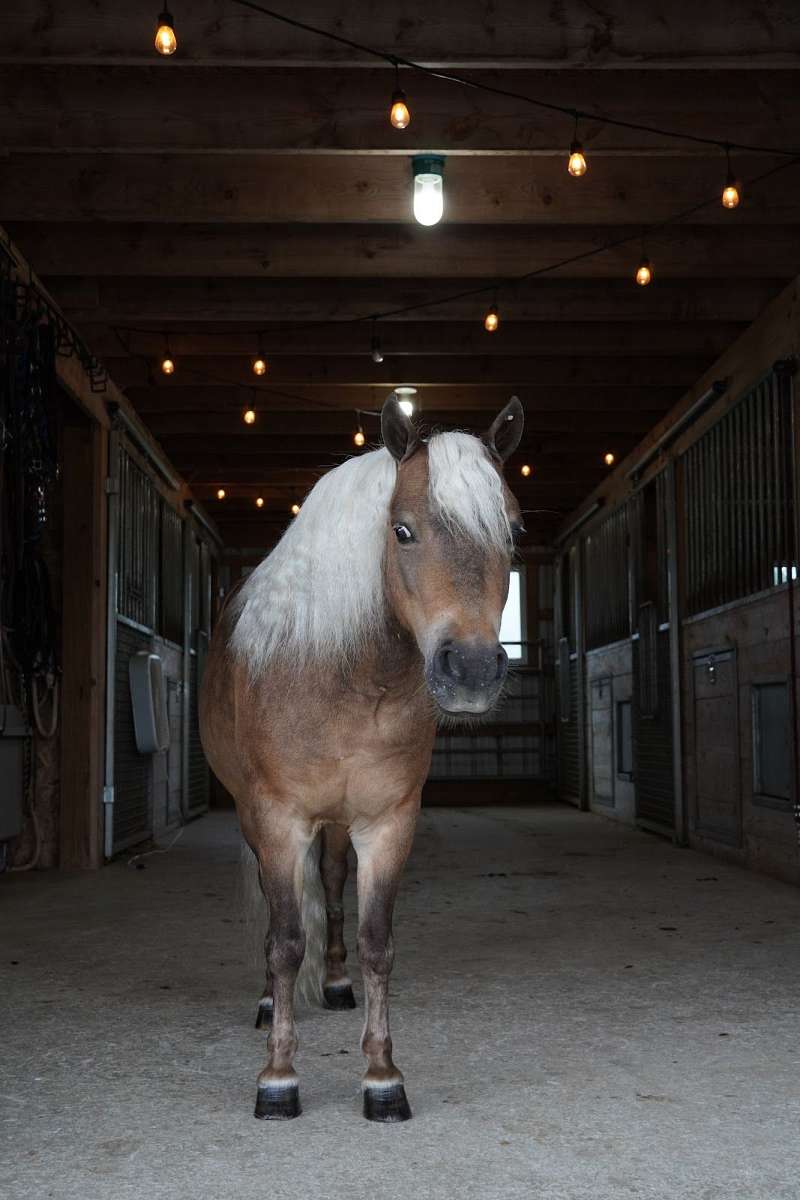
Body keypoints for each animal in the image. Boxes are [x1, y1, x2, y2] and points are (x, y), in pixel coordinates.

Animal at [199, 395, 525, 1122]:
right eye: (402, 531)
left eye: (513, 533)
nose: (471, 670)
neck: (346, 680)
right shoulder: (277, 820)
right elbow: (285, 940)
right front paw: (278, 1079)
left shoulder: (388, 821)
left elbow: (378, 942)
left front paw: (382, 1077)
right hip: (257, 821)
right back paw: (269, 1003)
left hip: (341, 825)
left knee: (332, 881)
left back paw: (336, 983)